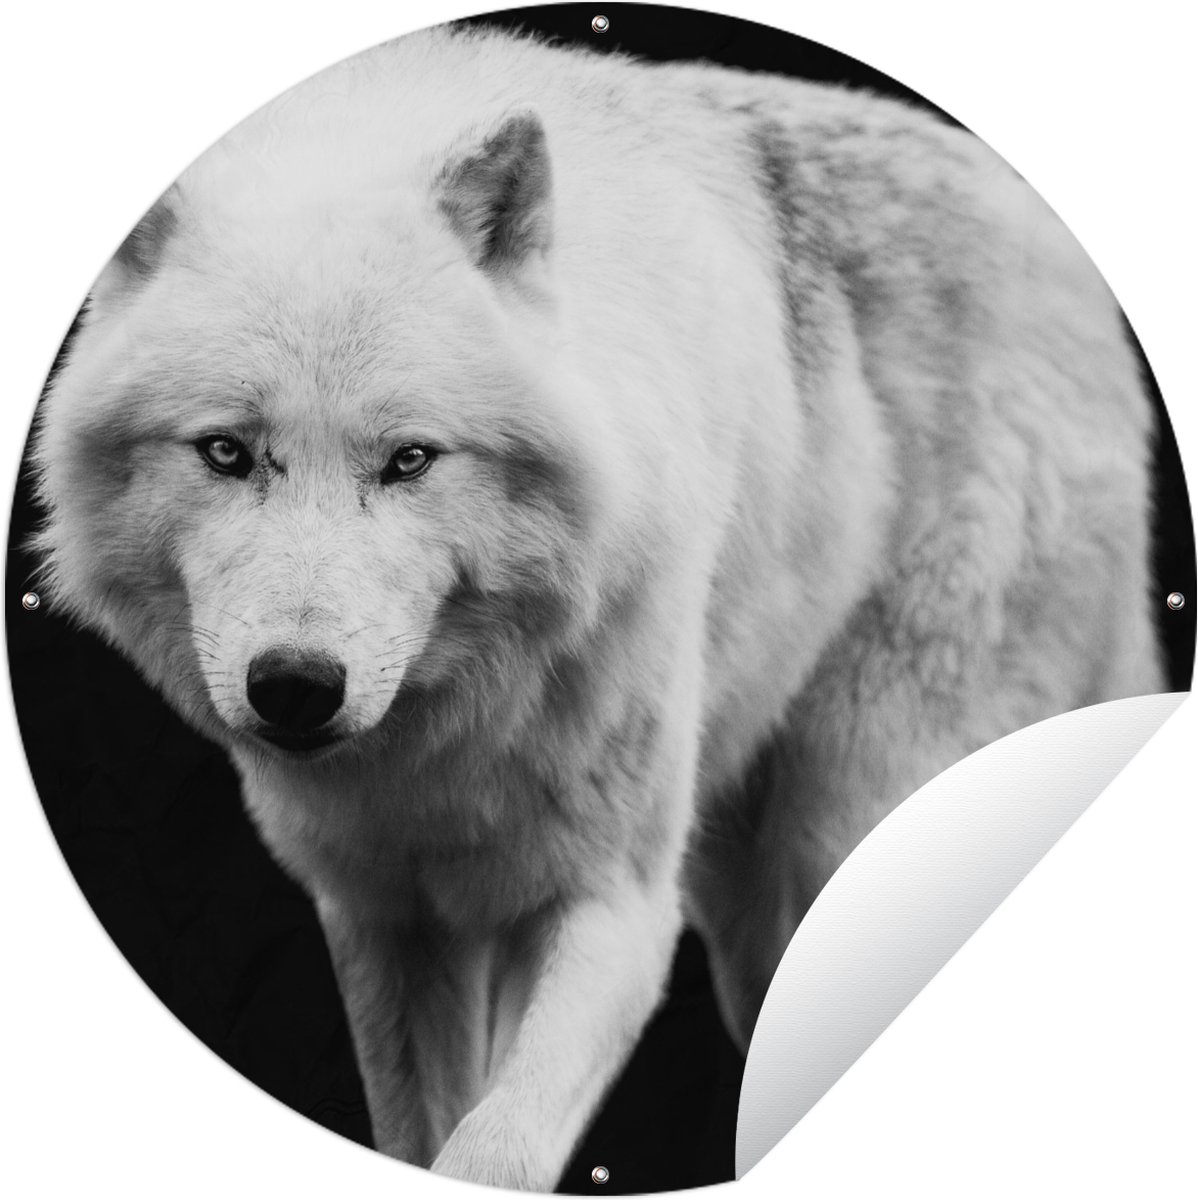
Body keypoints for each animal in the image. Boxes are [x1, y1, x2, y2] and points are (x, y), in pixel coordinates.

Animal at [32, 24, 1162, 1191]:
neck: (450, 744)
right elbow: (424, 1130)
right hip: (748, 911)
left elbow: (495, 1148)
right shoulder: (389, 920)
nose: (296, 687)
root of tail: (1067, 260)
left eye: (409, 460)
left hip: (843, 821)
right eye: (225, 452)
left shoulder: (614, 905)